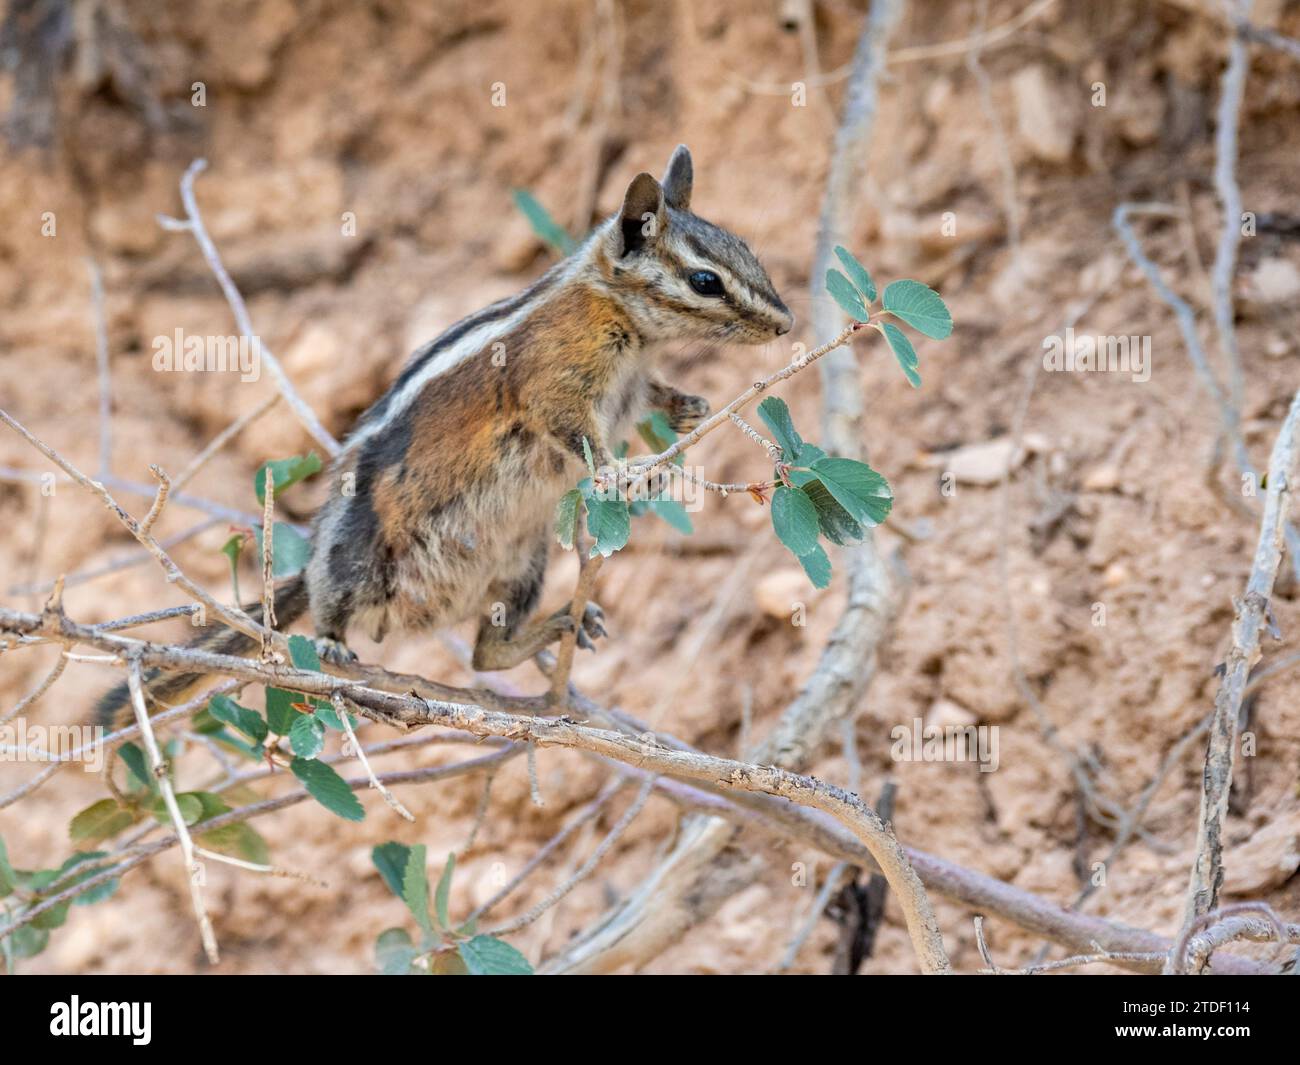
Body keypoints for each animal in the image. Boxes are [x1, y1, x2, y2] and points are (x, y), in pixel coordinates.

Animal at [95, 145, 793, 727]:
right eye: (705, 280)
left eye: (745, 248)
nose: (785, 324)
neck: (624, 321)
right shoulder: (555, 386)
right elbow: (574, 432)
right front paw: (617, 472)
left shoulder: (630, 383)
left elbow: (648, 398)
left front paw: (688, 408)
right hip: (357, 551)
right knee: (331, 598)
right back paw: (329, 641)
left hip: (522, 562)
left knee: (486, 655)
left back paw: (556, 625)